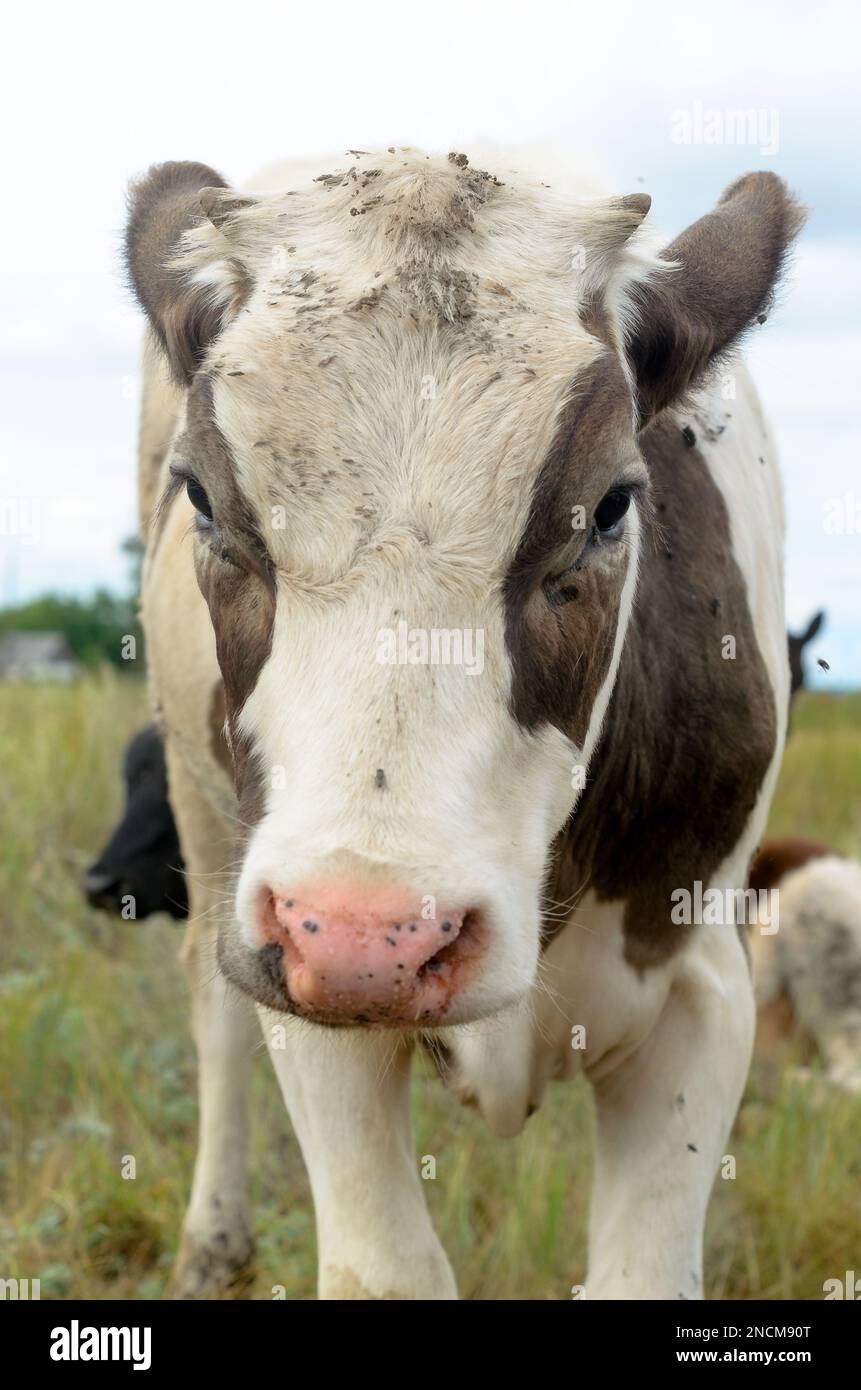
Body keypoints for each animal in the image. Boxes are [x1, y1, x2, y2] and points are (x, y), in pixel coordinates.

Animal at [125, 147, 804, 1300]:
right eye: (205, 500)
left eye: (611, 506)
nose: (372, 942)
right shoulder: (297, 973)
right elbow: (384, 1268)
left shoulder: (701, 990)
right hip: (200, 808)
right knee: (210, 1010)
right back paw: (212, 1243)